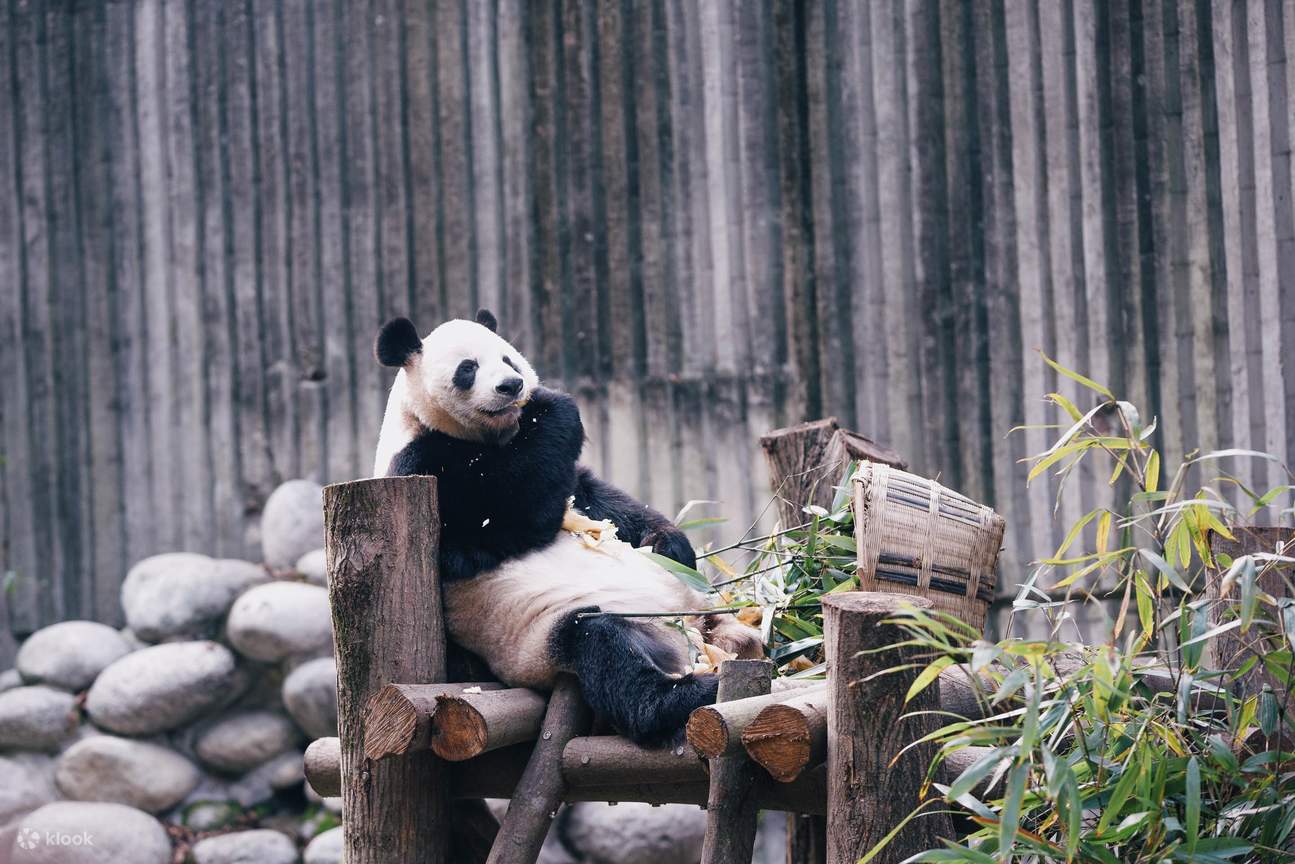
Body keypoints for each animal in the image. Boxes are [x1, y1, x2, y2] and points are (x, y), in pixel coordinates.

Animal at [373, 310, 762, 746]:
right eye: (467, 368)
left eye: (508, 359)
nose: (512, 385)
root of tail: (690, 634)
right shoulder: (423, 470)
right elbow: (504, 515)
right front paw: (552, 404)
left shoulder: (572, 485)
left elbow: (598, 501)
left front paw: (670, 546)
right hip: (557, 635)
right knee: (605, 650)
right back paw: (687, 694)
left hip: (709, 617)